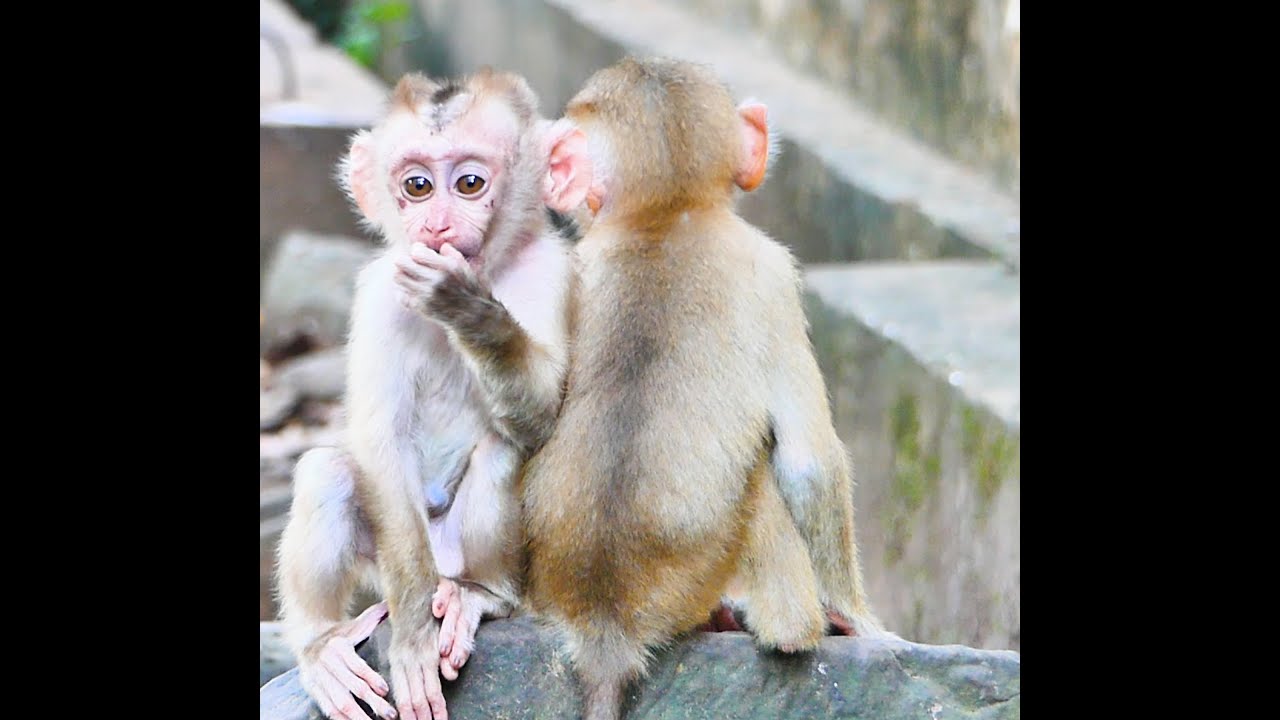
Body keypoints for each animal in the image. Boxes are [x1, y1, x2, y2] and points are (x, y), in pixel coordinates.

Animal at [275, 69, 592, 720]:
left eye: (470, 183)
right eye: (417, 186)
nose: (437, 224)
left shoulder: (549, 268)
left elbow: (543, 415)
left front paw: (465, 307)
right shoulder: (378, 292)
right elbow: (380, 442)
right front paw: (415, 636)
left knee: (501, 451)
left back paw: (480, 594)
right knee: (328, 472)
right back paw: (321, 644)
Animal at [520, 57, 886, 720]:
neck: (665, 216)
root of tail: (604, 618)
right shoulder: (773, 276)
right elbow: (809, 464)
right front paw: (860, 620)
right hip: (706, 565)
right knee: (766, 476)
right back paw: (785, 629)